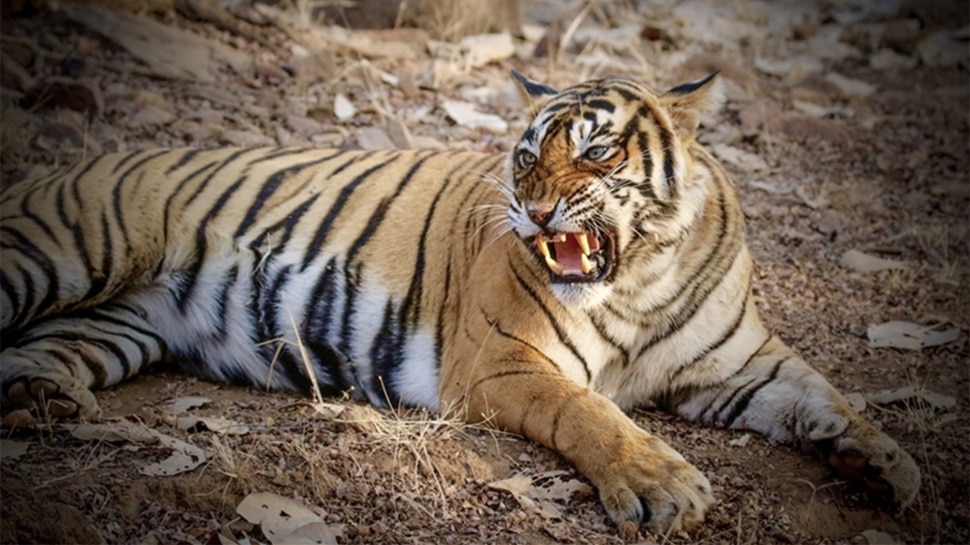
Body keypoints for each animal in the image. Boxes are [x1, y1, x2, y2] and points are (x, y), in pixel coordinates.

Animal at [0, 71, 920, 533]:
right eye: (526, 158)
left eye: (598, 151)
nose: (537, 212)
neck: (641, 281)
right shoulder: (505, 360)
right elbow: (593, 413)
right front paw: (663, 484)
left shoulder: (742, 362)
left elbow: (827, 395)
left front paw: (885, 463)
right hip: (67, 251)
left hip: (115, 324)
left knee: (34, 354)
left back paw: (40, 400)